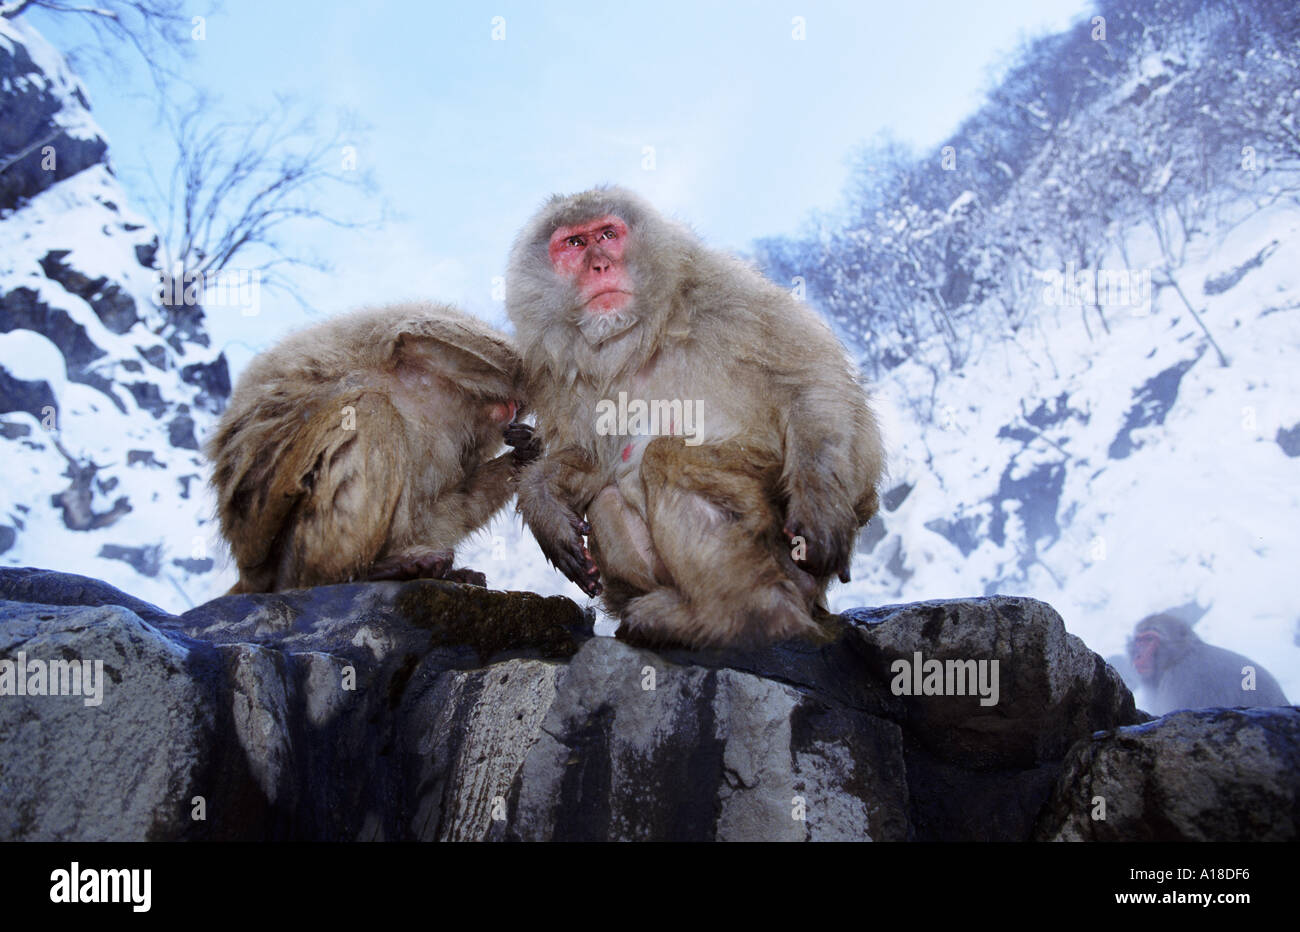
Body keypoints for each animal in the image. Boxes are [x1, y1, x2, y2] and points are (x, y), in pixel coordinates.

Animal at [206, 301, 538, 594]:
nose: (513, 408)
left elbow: (426, 516)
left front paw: (525, 453)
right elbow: (415, 329)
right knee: (370, 408)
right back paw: (342, 573)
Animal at [505, 186, 884, 648]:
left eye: (608, 234)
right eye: (574, 243)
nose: (599, 265)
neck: (636, 343)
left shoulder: (723, 290)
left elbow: (812, 380)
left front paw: (820, 505)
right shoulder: (556, 373)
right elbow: (590, 458)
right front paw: (541, 496)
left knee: (668, 458)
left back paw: (741, 616)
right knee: (607, 496)